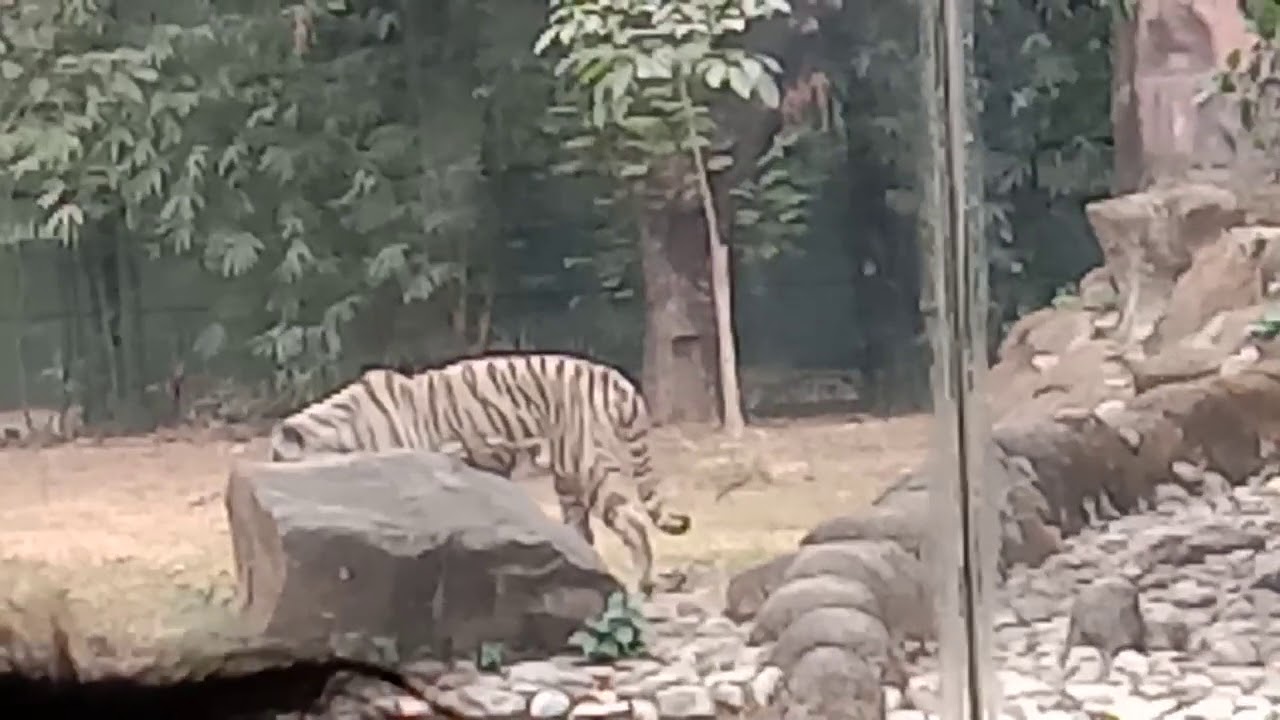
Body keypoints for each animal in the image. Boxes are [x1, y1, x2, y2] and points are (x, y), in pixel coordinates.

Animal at [267, 352, 693, 594]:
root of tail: (616, 380)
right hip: (568, 480)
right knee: (584, 532)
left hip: (585, 466)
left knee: (632, 521)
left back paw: (642, 584)